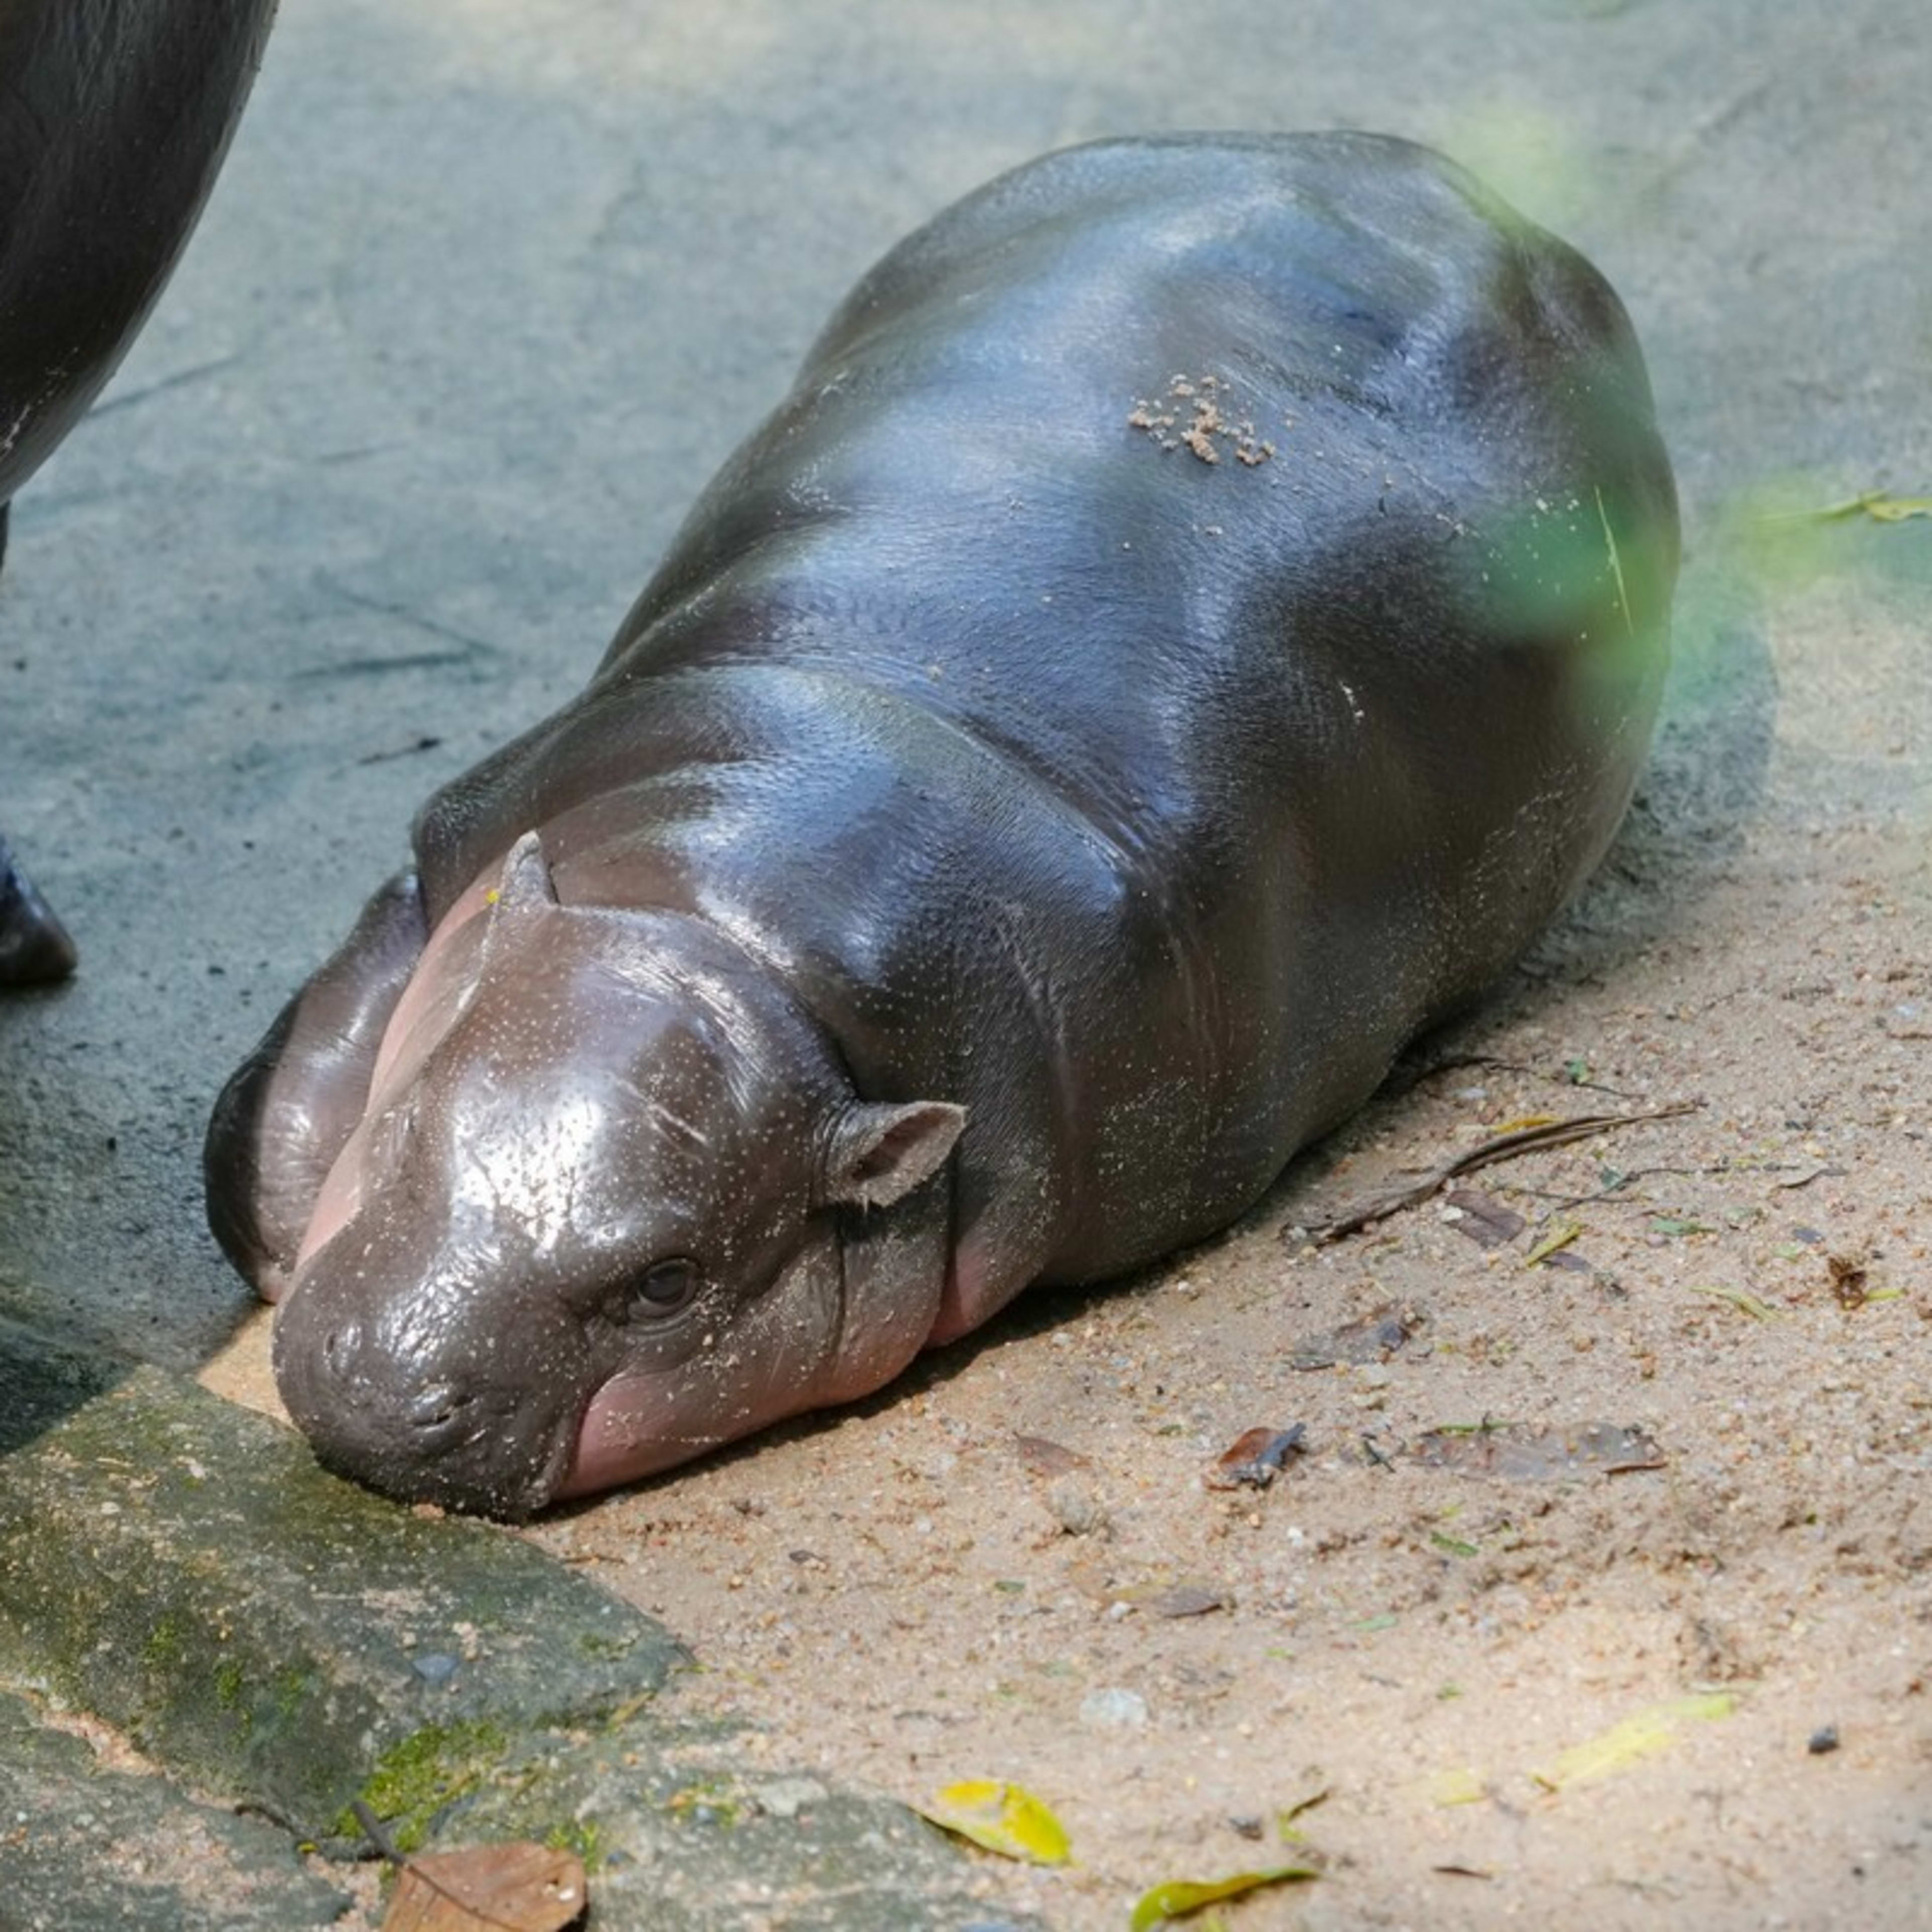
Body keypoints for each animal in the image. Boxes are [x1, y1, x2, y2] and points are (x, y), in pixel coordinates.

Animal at [206, 132, 1677, 1518]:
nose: (388, 1389)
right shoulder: (456, 843)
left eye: (669, 1282)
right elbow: (309, 1080)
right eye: (414, 1119)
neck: (735, 934)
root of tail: (1454, 182)